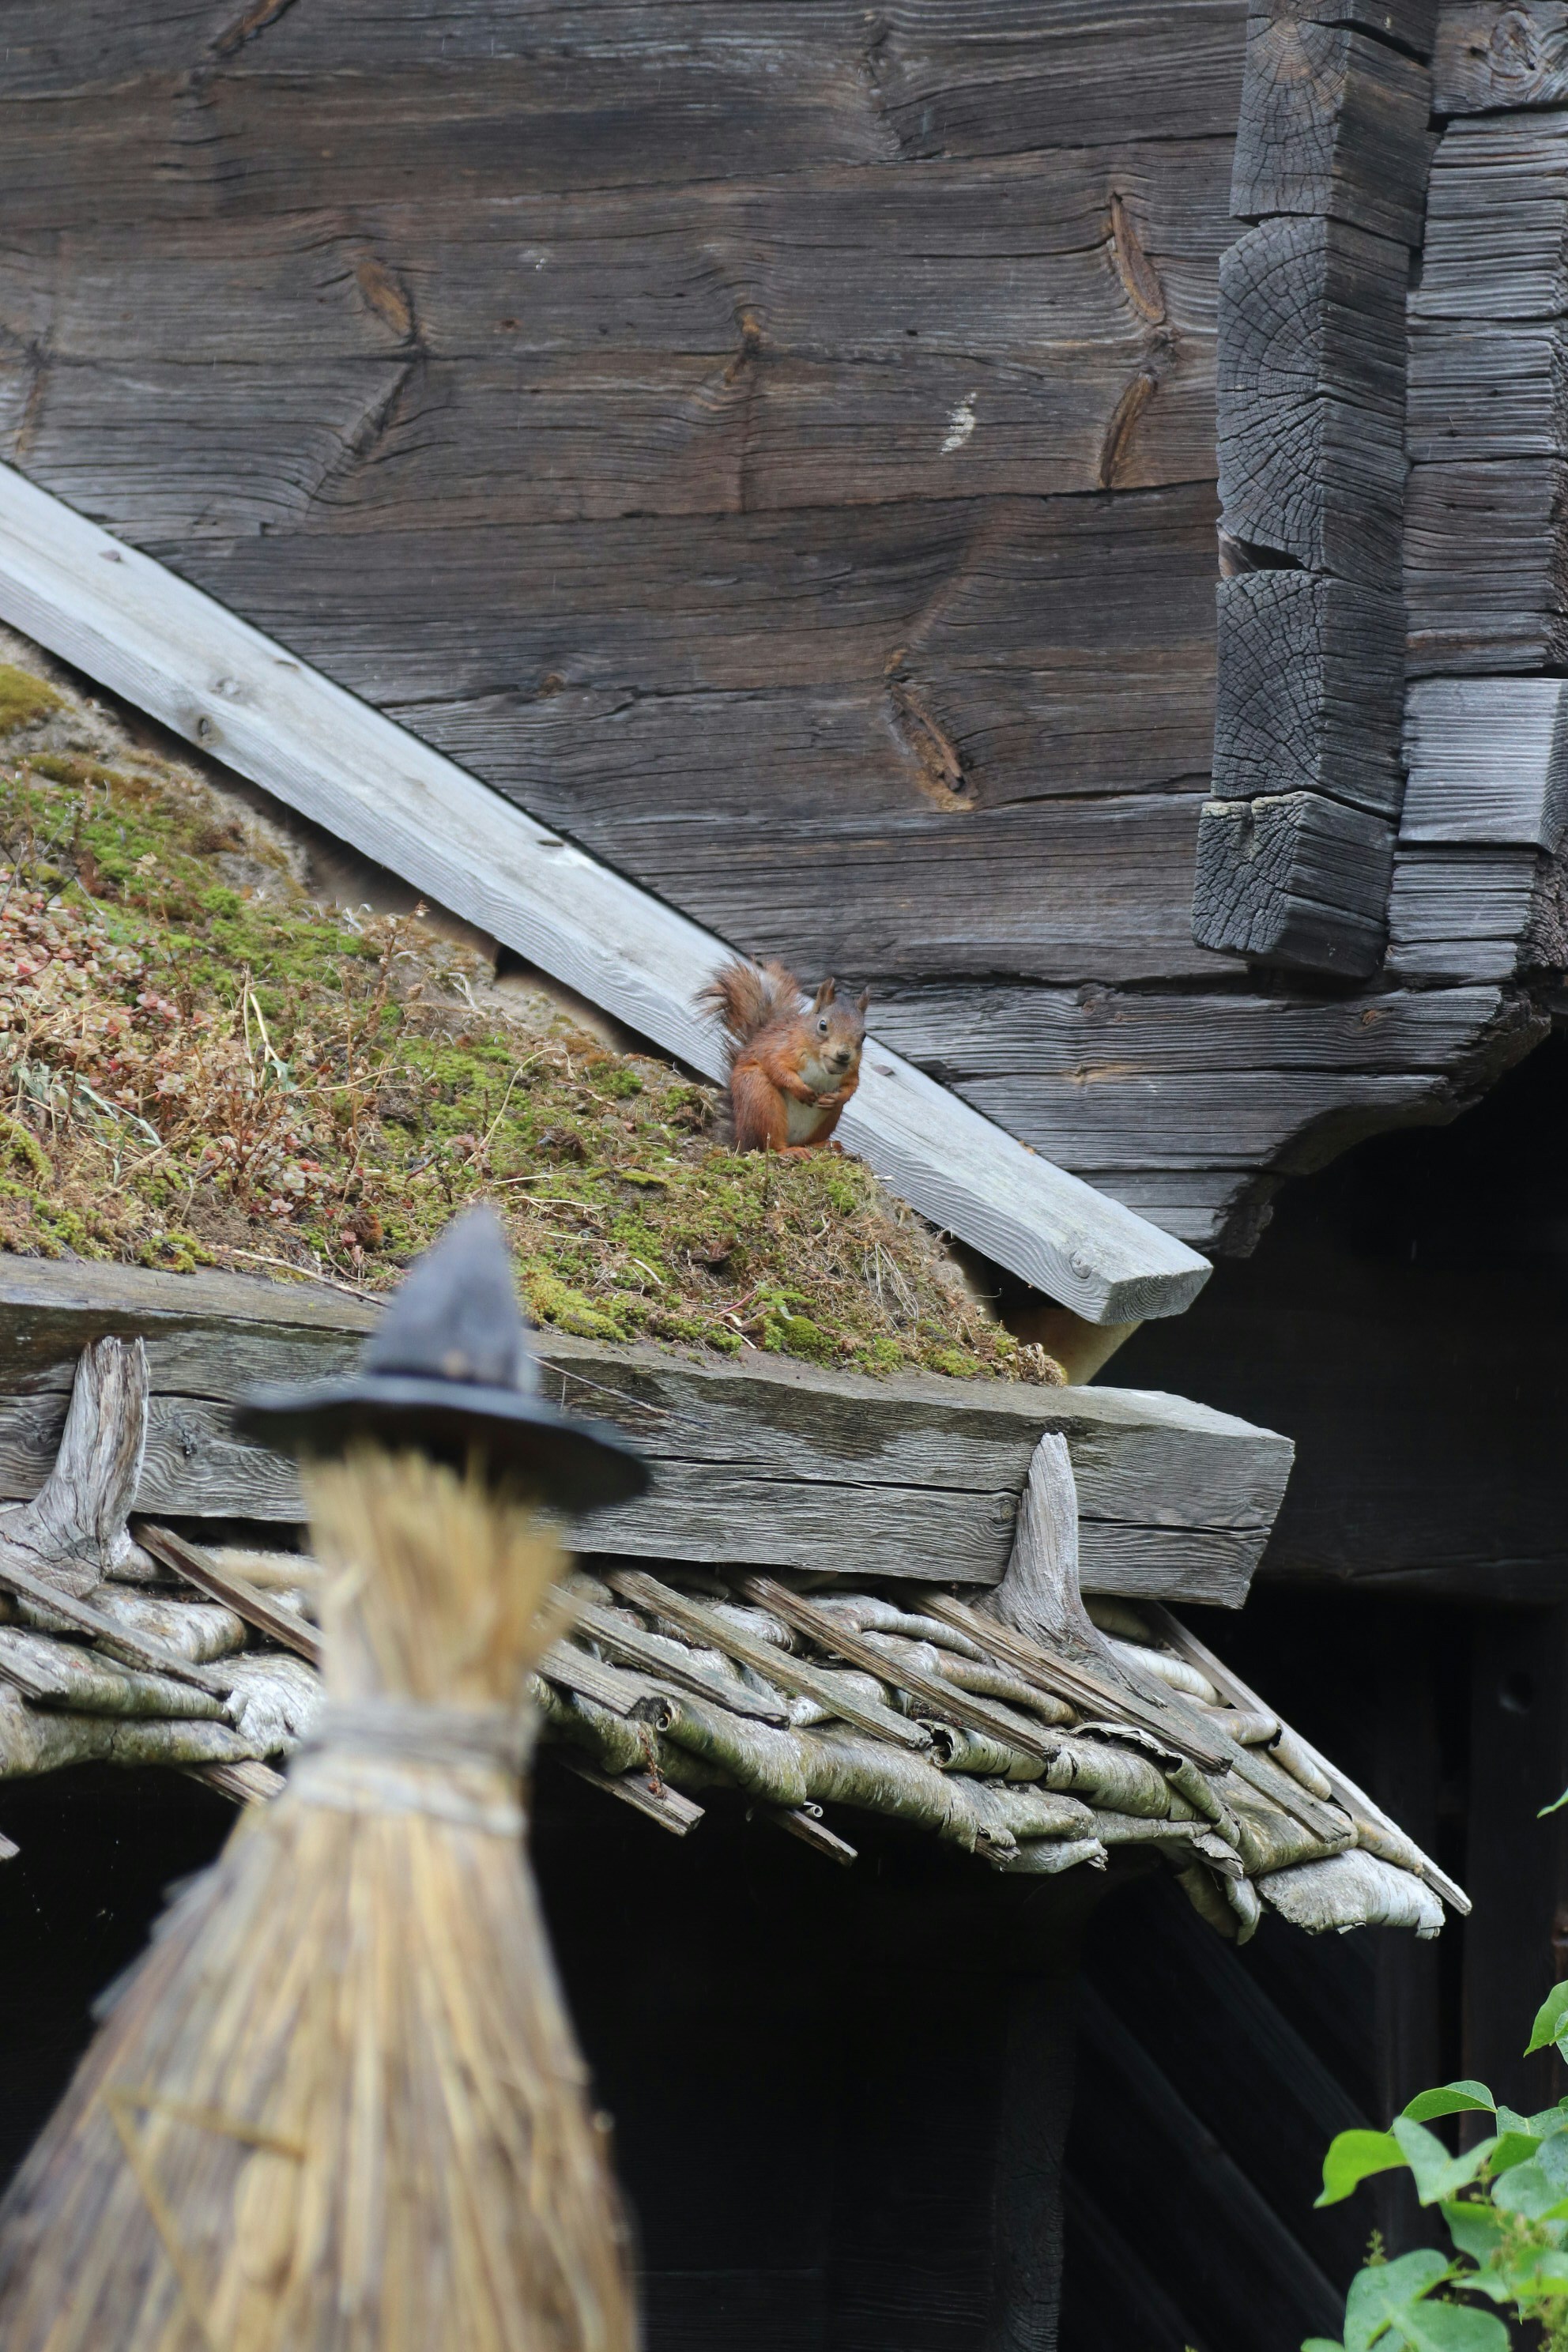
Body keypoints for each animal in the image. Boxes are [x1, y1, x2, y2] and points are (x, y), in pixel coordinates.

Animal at [700, 959, 870, 1154]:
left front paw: (836, 1098)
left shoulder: (852, 1071)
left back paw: (825, 1144)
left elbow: (852, 1086)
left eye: (864, 1036)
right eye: (823, 1025)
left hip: (828, 1119)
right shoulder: (780, 1048)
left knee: (807, 1141)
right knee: (770, 1145)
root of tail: (741, 1139)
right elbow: (776, 1066)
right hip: (761, 1098)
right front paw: (801, 1090)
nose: (844, 1055)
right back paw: (790, 1152)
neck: (820, 1066)